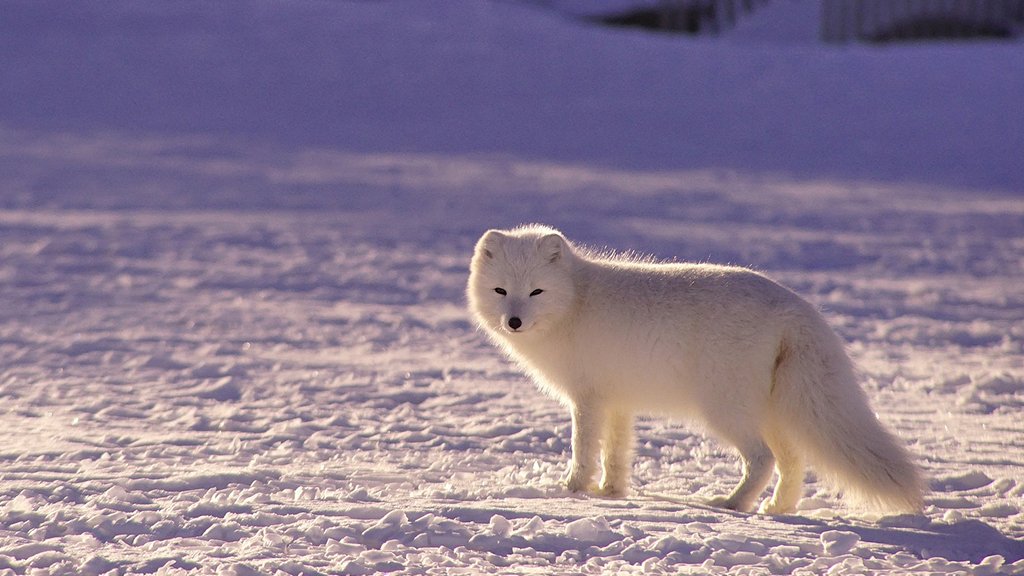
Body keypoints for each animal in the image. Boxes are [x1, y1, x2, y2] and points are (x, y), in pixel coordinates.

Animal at [466, 224, 925, 515]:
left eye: (536, 292)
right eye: (501, 291)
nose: (514, 321)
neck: (575, 302)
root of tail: (797, 307)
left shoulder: (588, 399)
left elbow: (583, 449)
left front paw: (572, 490)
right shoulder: (618, 401)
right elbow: (617, 452)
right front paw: (612, 492)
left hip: (725, 410)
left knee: (763, 459)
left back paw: (734, 504)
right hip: (772, 412)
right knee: (793, 462)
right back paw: (778, 508)